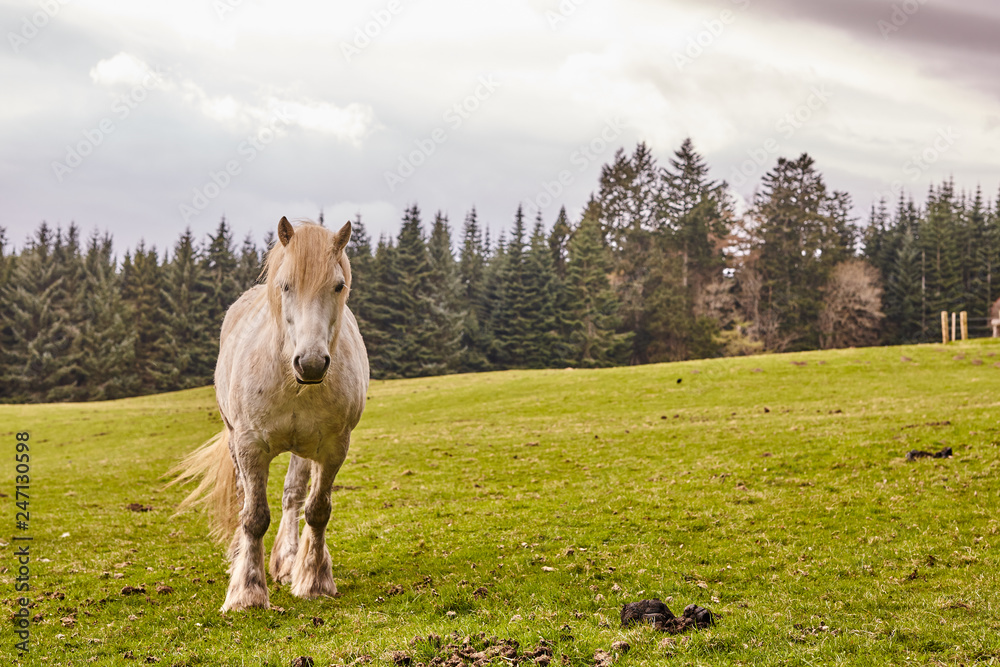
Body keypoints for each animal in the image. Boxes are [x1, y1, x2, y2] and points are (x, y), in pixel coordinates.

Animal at [171, 217, 369, 612]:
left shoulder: (333, 448)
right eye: (285, 285)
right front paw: (247, 593)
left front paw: (315, 579)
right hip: (235, 442)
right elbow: (254, 516)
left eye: (338, 286)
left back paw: (289, 560)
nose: (311, 363)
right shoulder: (249, 446)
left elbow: (317, 509)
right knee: (243, 498)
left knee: (293, 495)